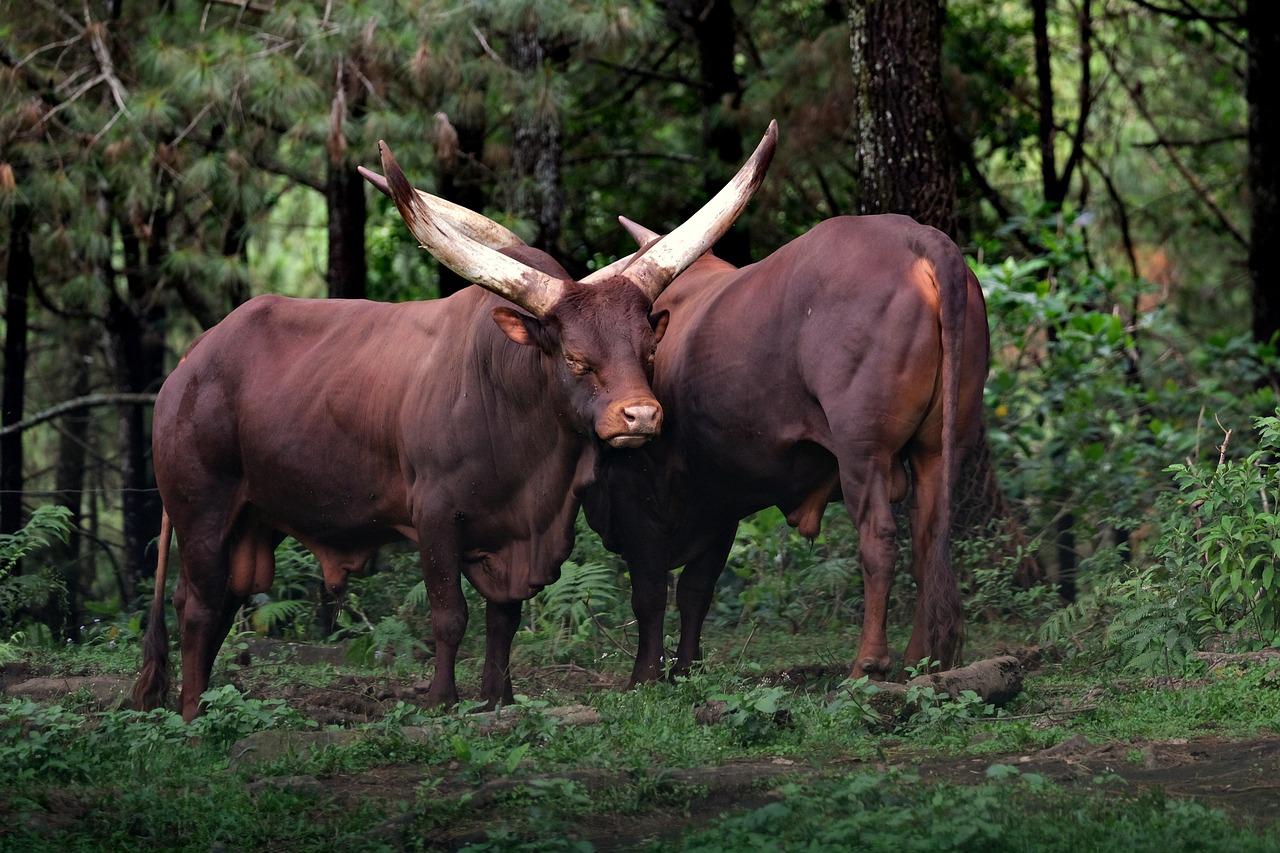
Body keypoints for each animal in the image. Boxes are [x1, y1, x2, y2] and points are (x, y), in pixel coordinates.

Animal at [132, 123, 778, 720]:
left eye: (647, 350)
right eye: (575, 358)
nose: (641, 414)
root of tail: (192, 360)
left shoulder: (516, 535)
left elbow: (503, 618)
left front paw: (497, 697)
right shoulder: (435, 515)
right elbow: (450, 614)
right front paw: (443, 700)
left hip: (249, 522)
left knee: (219, 604)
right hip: (201, 509)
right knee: (198, 607)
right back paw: (191, 713)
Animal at [578, 214, 991, 685]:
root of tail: (917, 237)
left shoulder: (640, 494)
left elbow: (650, 592)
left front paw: (644, 677)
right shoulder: (720, 498)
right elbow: (695, 589)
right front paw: (685, 669)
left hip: (862, 451)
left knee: (879, 539)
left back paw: (868, 663)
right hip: (937, 448)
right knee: (929, 540)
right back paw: (922, 659)